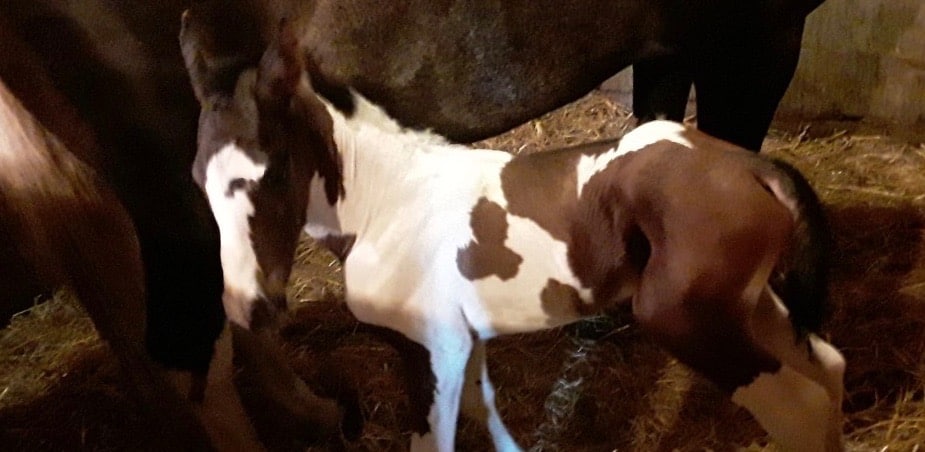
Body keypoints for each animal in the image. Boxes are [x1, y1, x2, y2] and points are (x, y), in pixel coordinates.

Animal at [182, 20, 846, 452]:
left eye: (271, 171)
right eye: (196, 178)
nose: (248, 305)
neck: (386, 201)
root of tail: (755, 168)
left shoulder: (432, 347)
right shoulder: (464, 341)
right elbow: (486, 413)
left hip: (687, 320)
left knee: (801, 407)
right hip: (749, 308)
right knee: (829, 372)